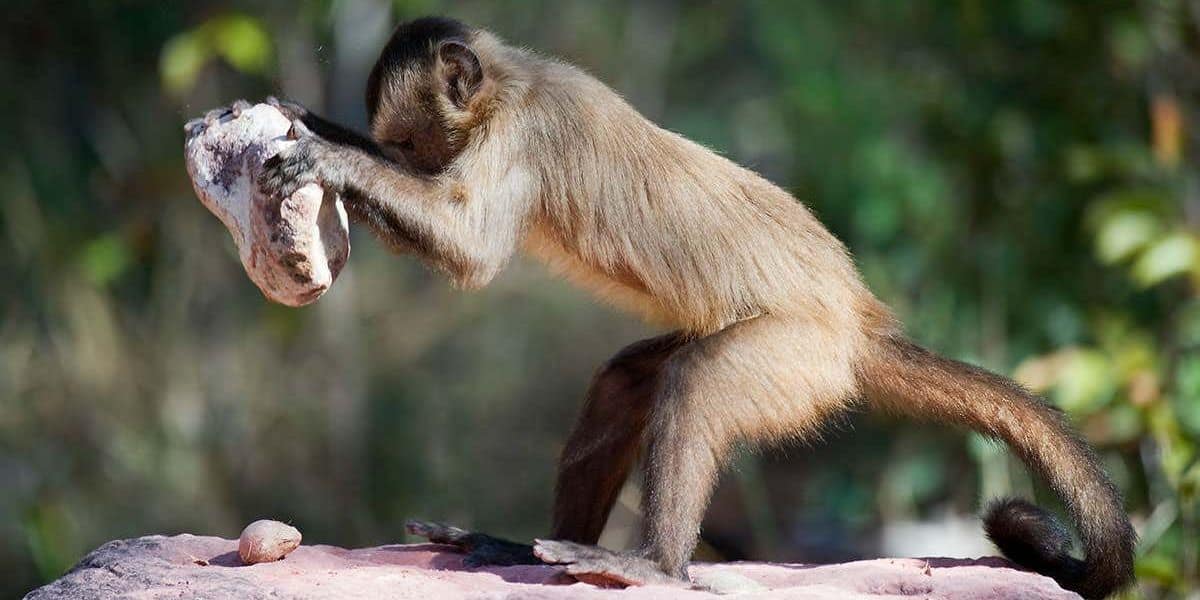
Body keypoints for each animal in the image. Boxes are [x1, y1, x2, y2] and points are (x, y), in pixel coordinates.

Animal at [246, 16, 1135, 599]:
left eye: (406, 147)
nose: (396, 159)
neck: (513, 83)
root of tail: (858, 324)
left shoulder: (524, 132)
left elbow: (473, 253)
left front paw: (330, 158)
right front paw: (305, 125)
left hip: (798, 355)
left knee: (701, 381)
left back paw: (656, 567)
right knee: (627, 379)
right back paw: (524, 549)